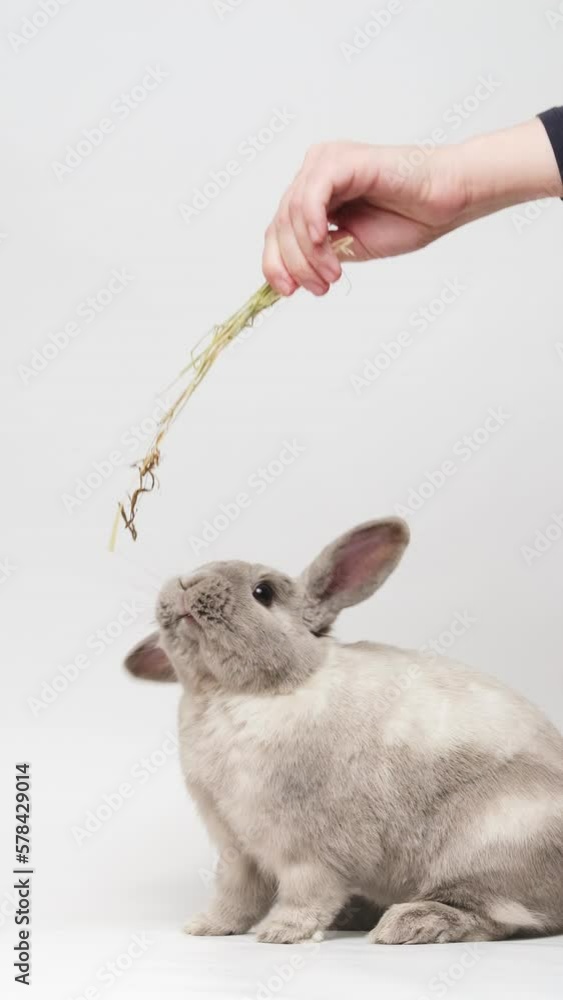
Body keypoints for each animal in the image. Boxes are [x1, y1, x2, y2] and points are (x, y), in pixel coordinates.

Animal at [124, 517, 563, 945]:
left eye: (263, 592)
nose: (186, 583)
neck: (237, 692)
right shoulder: (236, 849)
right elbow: (236, 896)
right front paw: (207, 927)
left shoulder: (309, 848)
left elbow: (307, 891)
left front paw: (283, 932)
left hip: (492, 846)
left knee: (495, 917)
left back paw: (409, 924)